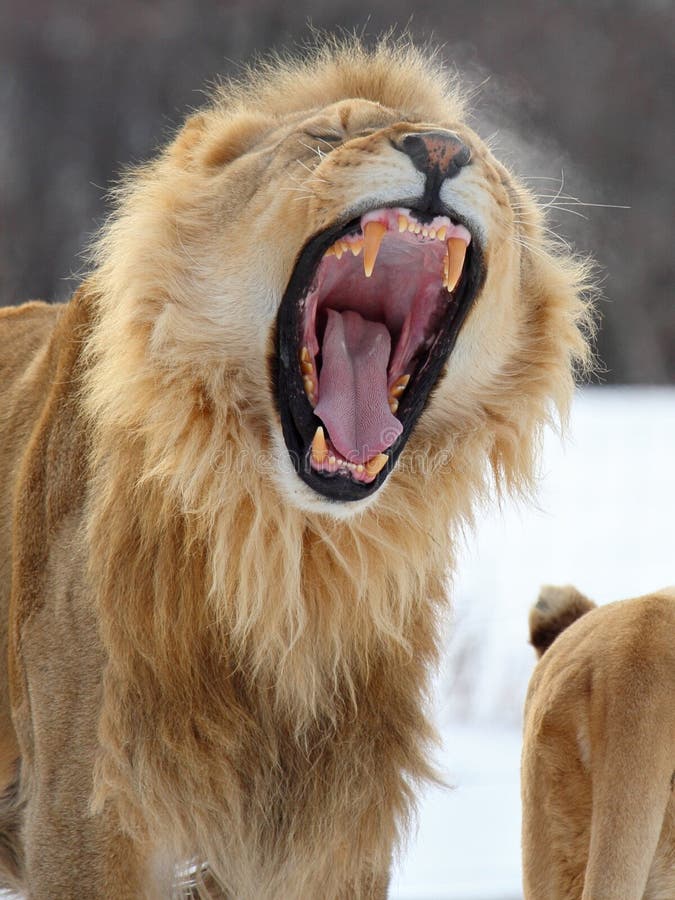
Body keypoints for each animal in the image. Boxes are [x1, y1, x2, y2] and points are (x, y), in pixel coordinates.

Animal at [0, 38, 593, 898]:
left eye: (487, 160)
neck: (297, 560)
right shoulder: (83, 813)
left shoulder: (331, 830)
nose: (440, 151)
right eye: (324, 137)